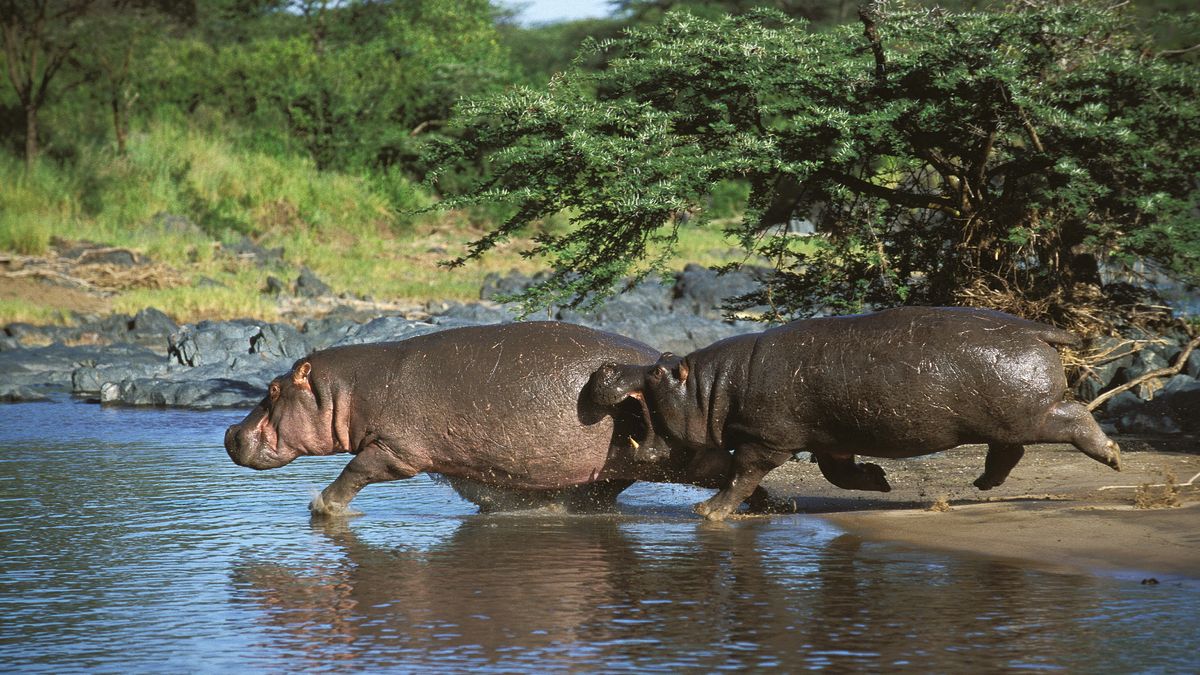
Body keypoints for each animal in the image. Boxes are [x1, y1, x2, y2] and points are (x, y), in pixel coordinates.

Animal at [224, 321, 781, 516]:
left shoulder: (395, 450)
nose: (230, 432)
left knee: (730, 468)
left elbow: (354, 471)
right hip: (628, 465)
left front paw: (322, 505)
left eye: (272, 389)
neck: (349, 388)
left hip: (677, 457)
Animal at [590, 307, 1122, 521]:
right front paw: (880, 481)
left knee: (1075, 418)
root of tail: (1040, 329)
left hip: (1034, 413)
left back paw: (1114, 457)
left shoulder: (767, 440)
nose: (607, 367)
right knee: (1007, 452)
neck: (712, 388)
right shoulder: (831, 439)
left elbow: (741, 475)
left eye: (659, 371)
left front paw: (708, 512)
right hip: (1007, 417)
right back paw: (983, 485)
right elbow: (839, 473)